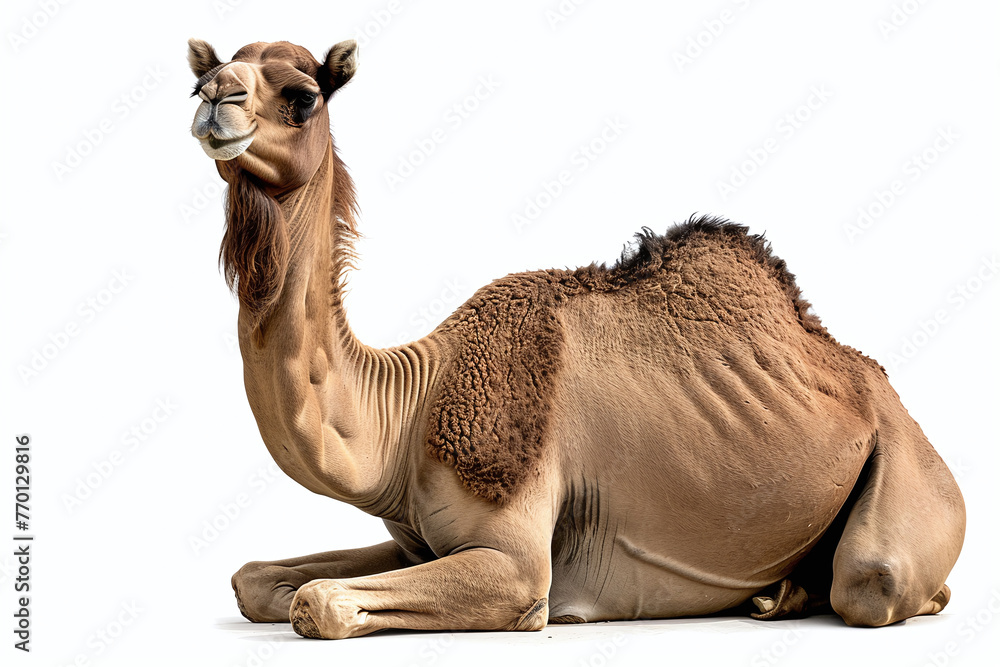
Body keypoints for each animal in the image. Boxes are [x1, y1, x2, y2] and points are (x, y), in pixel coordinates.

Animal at [187, 38, 965, 639]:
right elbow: (255, 579)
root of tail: (877, 383)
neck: (408, 409)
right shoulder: (411, 541)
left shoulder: (516, 561)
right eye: (205, 74)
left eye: (302, 96)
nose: (215, 97)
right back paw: (778, 591)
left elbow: (318, 602)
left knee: (875, 580)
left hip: (905, 483)